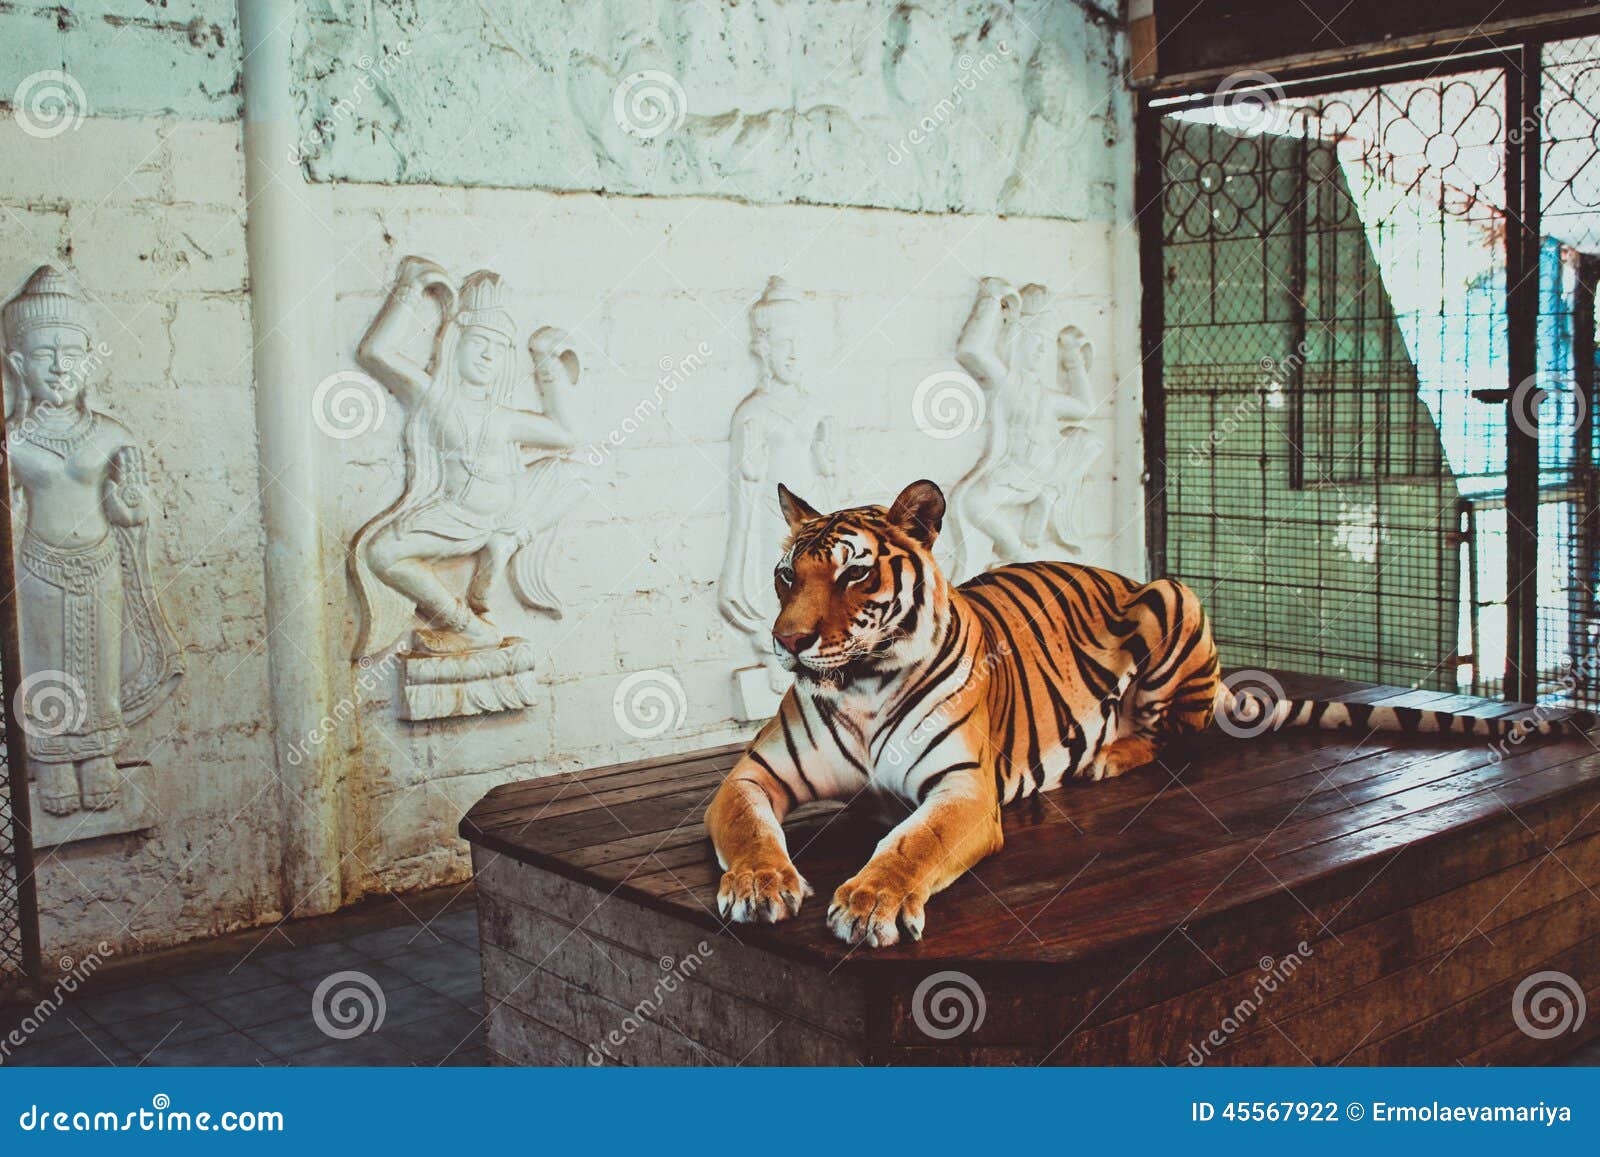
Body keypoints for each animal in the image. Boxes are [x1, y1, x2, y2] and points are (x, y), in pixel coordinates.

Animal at [705, 479, 1594, 948]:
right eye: (786, 576)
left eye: (854, 576)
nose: (786, 640)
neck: (862, 684)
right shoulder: (751, 773)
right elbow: (746, 827)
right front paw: (760, 884)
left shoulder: (962, 791)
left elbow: (909, 841)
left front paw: (871, 901)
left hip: (1172, 597)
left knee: (1177, 741)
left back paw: (1103, 755)